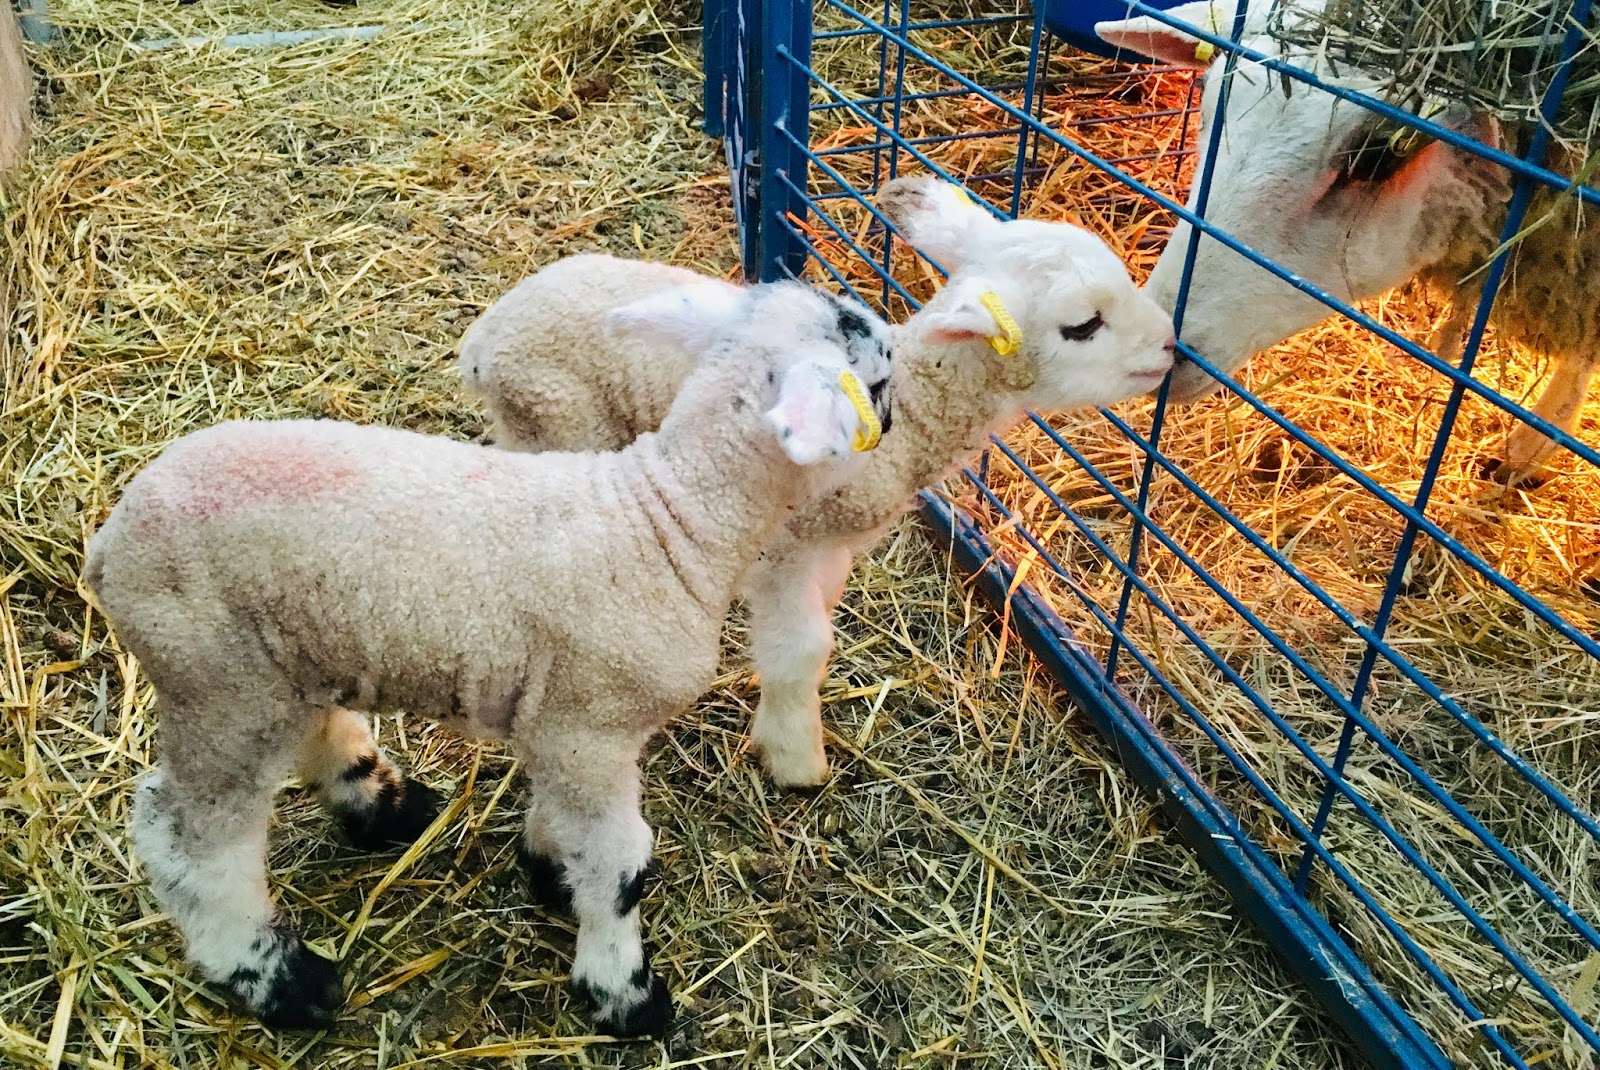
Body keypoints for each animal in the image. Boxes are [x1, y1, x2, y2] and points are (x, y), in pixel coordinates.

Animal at [83, 276, 896, 1037]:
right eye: (876, 380)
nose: (893, 417)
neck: (668, 520)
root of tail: (108, 543)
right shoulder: (592, 724)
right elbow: (620, 865)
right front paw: (623, 993)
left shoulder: (562, 724)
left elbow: (568, 824)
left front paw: (549, 870)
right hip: (217, 679)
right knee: (188, 837)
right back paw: (277, 977)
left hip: (285, 655)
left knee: (312, 731)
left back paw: (384, 804)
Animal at [456, 176, 1177, 788]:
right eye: (1083, 326)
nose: (1171, 345)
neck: (916, 410)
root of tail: (482, 340)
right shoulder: (786, 551)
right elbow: (801, 648)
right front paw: (793, 755)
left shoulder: (829, 547)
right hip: (557, 414)